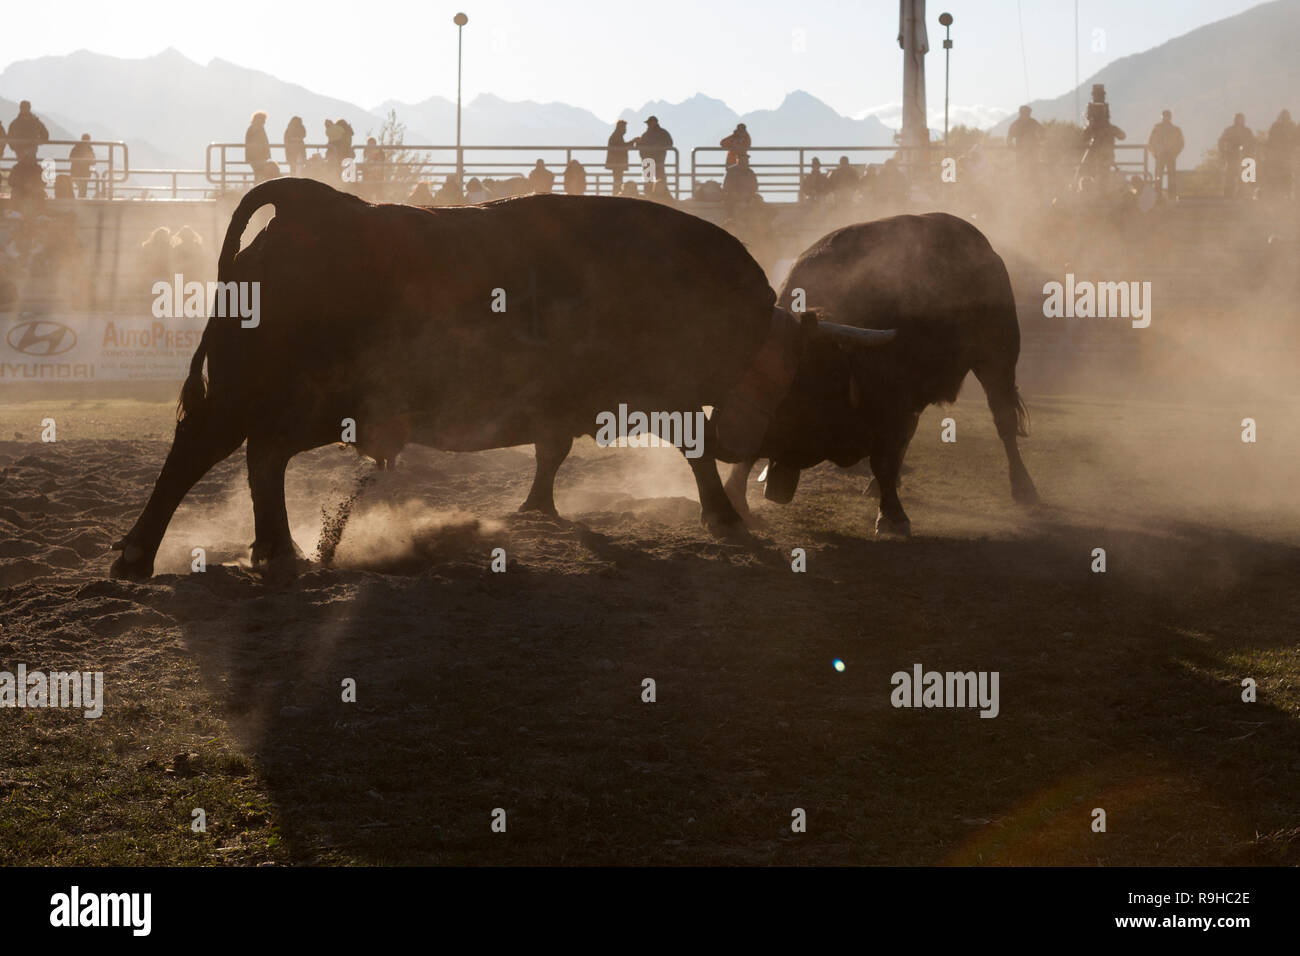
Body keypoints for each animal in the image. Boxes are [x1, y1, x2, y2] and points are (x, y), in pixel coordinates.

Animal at [110, 178, 894, 580]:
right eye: (832, 380)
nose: (863, 447)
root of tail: (313, 209)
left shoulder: (567, 404)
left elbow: (554, 451)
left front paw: (538, 508)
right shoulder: (663, 396)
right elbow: (695, 451)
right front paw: (724, 516)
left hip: (292, 405)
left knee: (257, 459)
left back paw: (275, 549)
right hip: (255, 396)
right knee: (202, 453)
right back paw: (144, 555)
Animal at [724, 213, 1038, 536]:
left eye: (800, 379)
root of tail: (986, 249)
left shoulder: (893, 402)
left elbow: (884, 457)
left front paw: (892, 514)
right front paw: (735, 497)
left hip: (997, 359)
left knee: (1004, 418)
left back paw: (1023, 486)